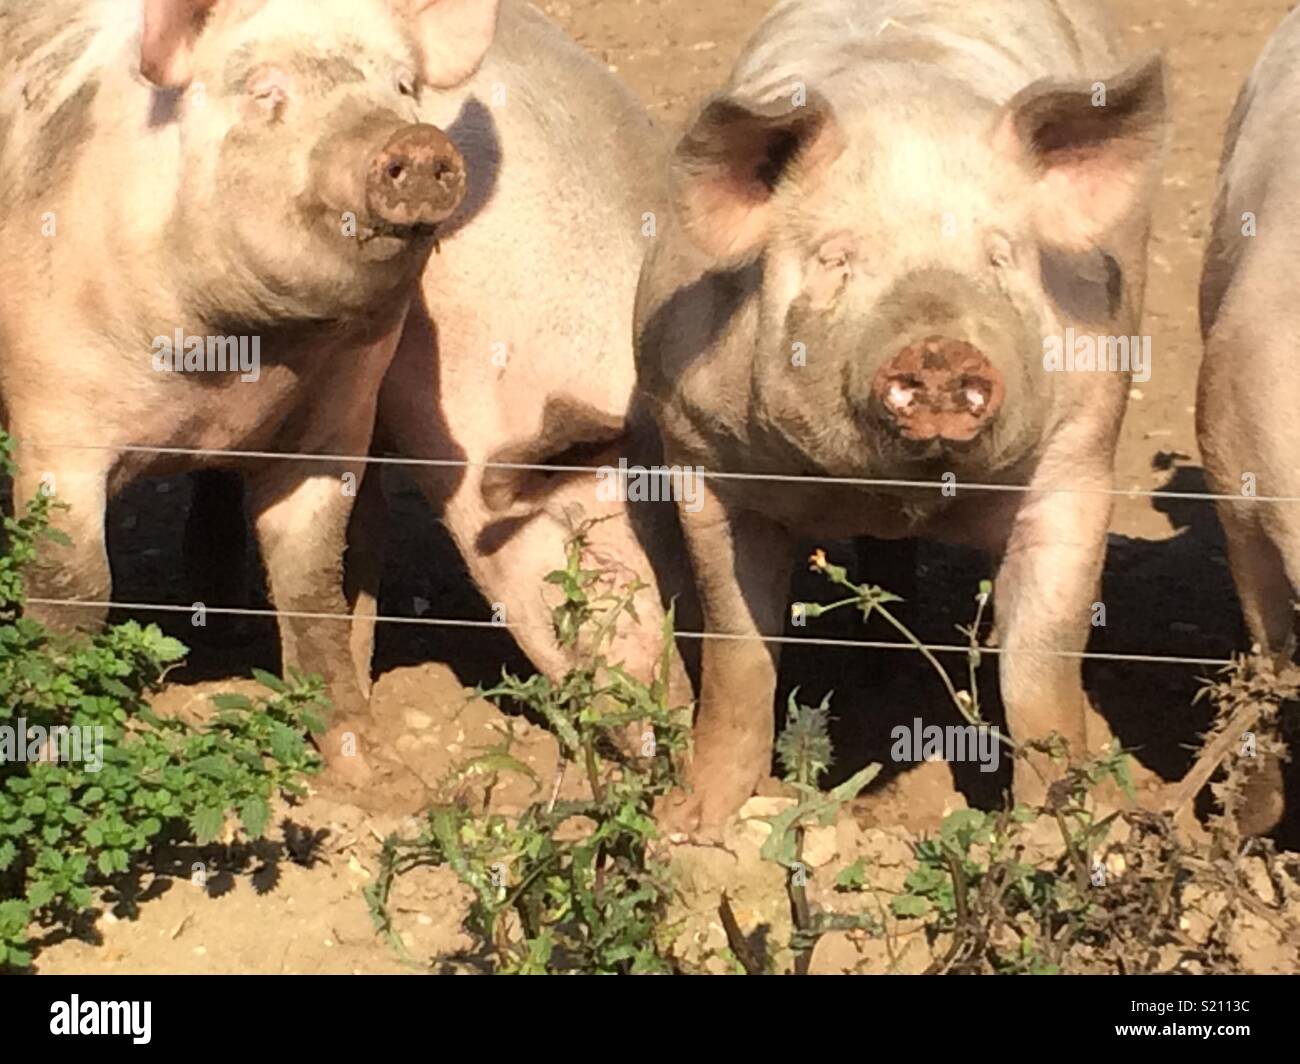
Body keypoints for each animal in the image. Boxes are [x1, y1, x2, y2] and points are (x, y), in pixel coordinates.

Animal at [0, 0, 499, 774]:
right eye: (267, 92)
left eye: (404, 87)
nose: (415, 143)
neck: (235, 364)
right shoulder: (54, 414)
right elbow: (73, 589)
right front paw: (50, 755)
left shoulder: (336, 421)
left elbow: (312, 583)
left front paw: (365, 768)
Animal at [634, 0, 1168, 833]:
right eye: (836, 258)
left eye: (1001, 255)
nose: (942, 347)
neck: (889, 486)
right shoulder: (698, 455)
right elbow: (737, 653)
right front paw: (690, 826)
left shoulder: (1079, 457)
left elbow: (1042, 668)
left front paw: (1062, 832)